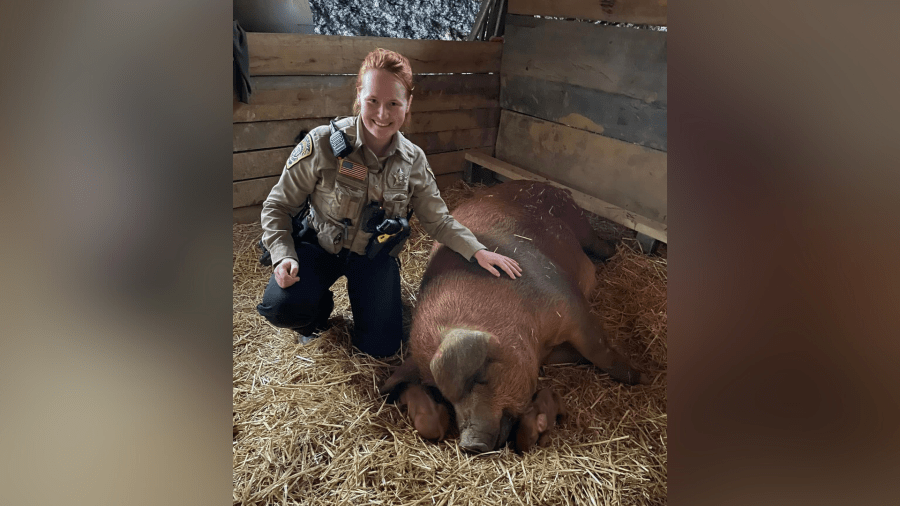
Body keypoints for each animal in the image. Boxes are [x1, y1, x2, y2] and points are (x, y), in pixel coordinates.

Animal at [380, 180, 648, 453]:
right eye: (442, 396)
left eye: (481, 377)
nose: (470, 444)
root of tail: (540, 184)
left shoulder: (570, 304)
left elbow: (600, 351)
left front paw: (643, 377)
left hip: (580, 222)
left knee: (600, 245)